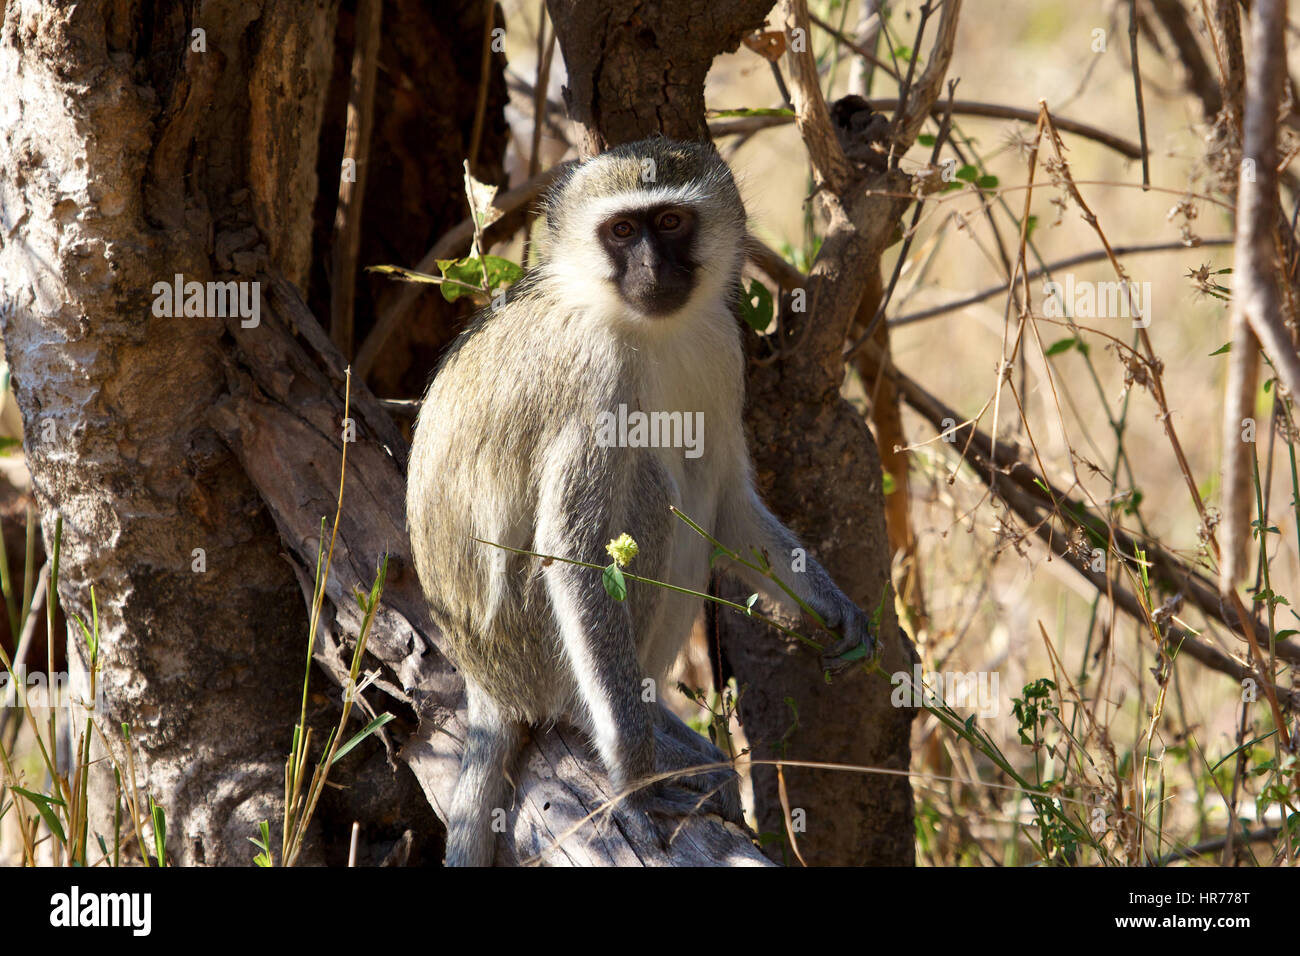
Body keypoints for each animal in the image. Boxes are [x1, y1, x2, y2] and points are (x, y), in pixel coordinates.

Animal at [406, 138, 876, 866]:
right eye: (623, 231)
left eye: (672, 223)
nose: (653, 267)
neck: (641, 325)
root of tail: (486, 682)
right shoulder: (593, 375)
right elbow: (575, 554)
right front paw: (632, 776)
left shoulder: (723, 344)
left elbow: (731, 506)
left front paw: (832, 606)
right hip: (533, 648)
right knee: (652, 488)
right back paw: (615, 725)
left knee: (697, 488)